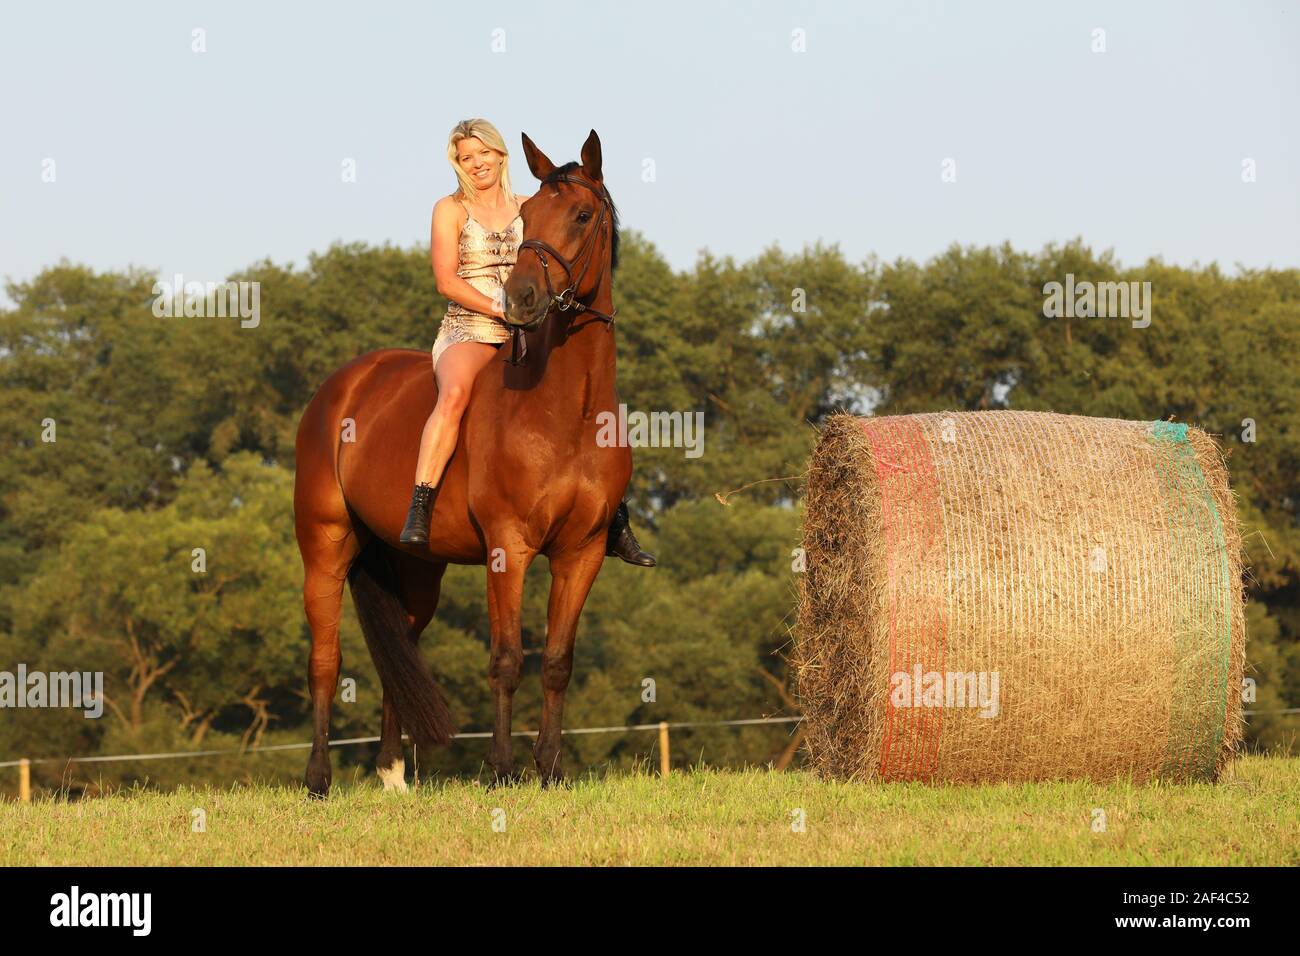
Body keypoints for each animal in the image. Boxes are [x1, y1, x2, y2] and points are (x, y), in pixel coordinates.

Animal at [292, 130, 629, 796]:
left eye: (582, 215)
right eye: (527, 216)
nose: (520, 300)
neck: (569, 410)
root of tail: (340, 386)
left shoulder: (581, 553)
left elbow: (557, 661)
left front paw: (549, 770)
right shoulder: (509, 547)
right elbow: (506, 659)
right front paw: (500, 770)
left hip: (416, 568)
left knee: (400, 653)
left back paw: (393, 776)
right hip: (325, 548)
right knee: (325, 659)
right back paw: (318, 778)